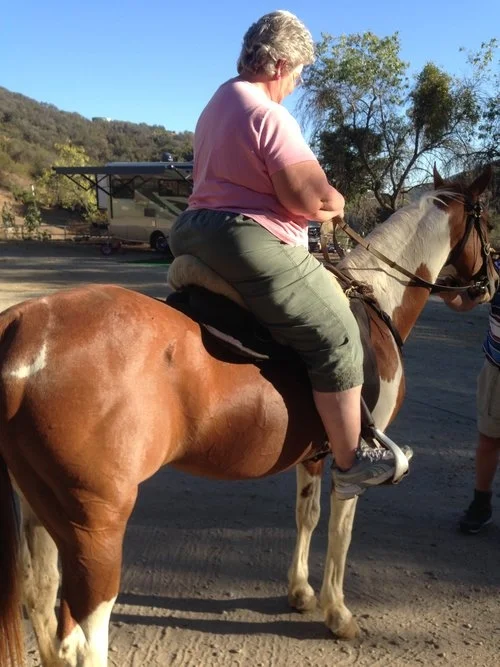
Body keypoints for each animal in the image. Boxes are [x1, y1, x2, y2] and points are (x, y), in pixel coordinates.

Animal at [0, 166, 496, 666]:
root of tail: (23, 330)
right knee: (83, 635)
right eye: (489, 224)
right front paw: (337, 613)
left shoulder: (313, 454)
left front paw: (300, 592)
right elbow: (341, 531)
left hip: (42, 509)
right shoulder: (350, 462)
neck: (377, 299)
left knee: (42, 605)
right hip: (95, 527)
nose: (488, 285)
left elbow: (307, 515)